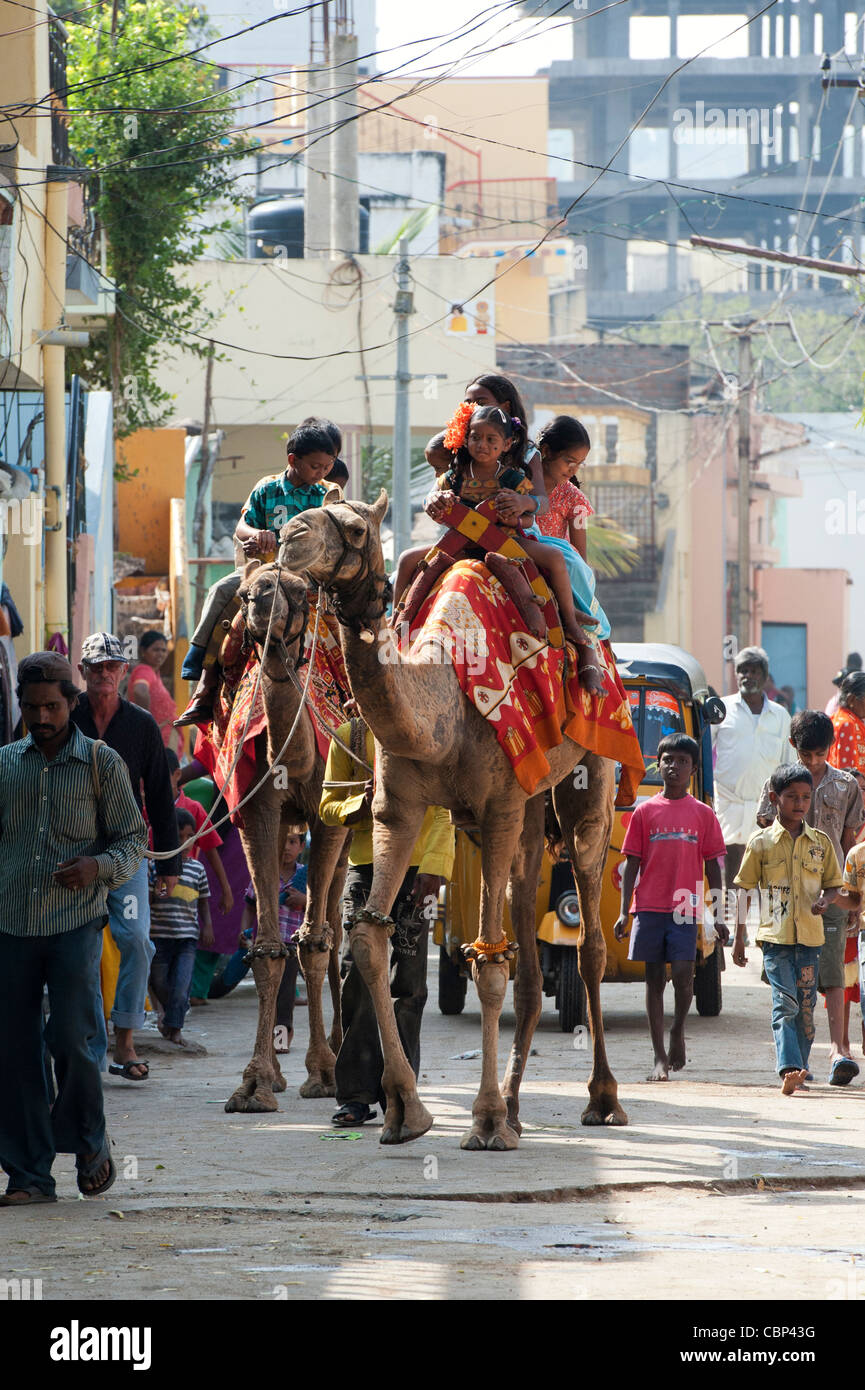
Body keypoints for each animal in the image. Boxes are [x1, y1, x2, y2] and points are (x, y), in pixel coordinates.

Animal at [277, 490, 626, 1149]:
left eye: (357, 528)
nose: (289, 536)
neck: (446, 701)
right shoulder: (402, 805)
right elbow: (370, 940)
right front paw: (405, 1110)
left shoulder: (498, 807)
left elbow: (486, 961)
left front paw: (483, 1121)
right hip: (528, 812)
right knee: (529, 949)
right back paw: (516, 1106)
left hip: (589, 775)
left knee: (590, 938)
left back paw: (601, 1100)